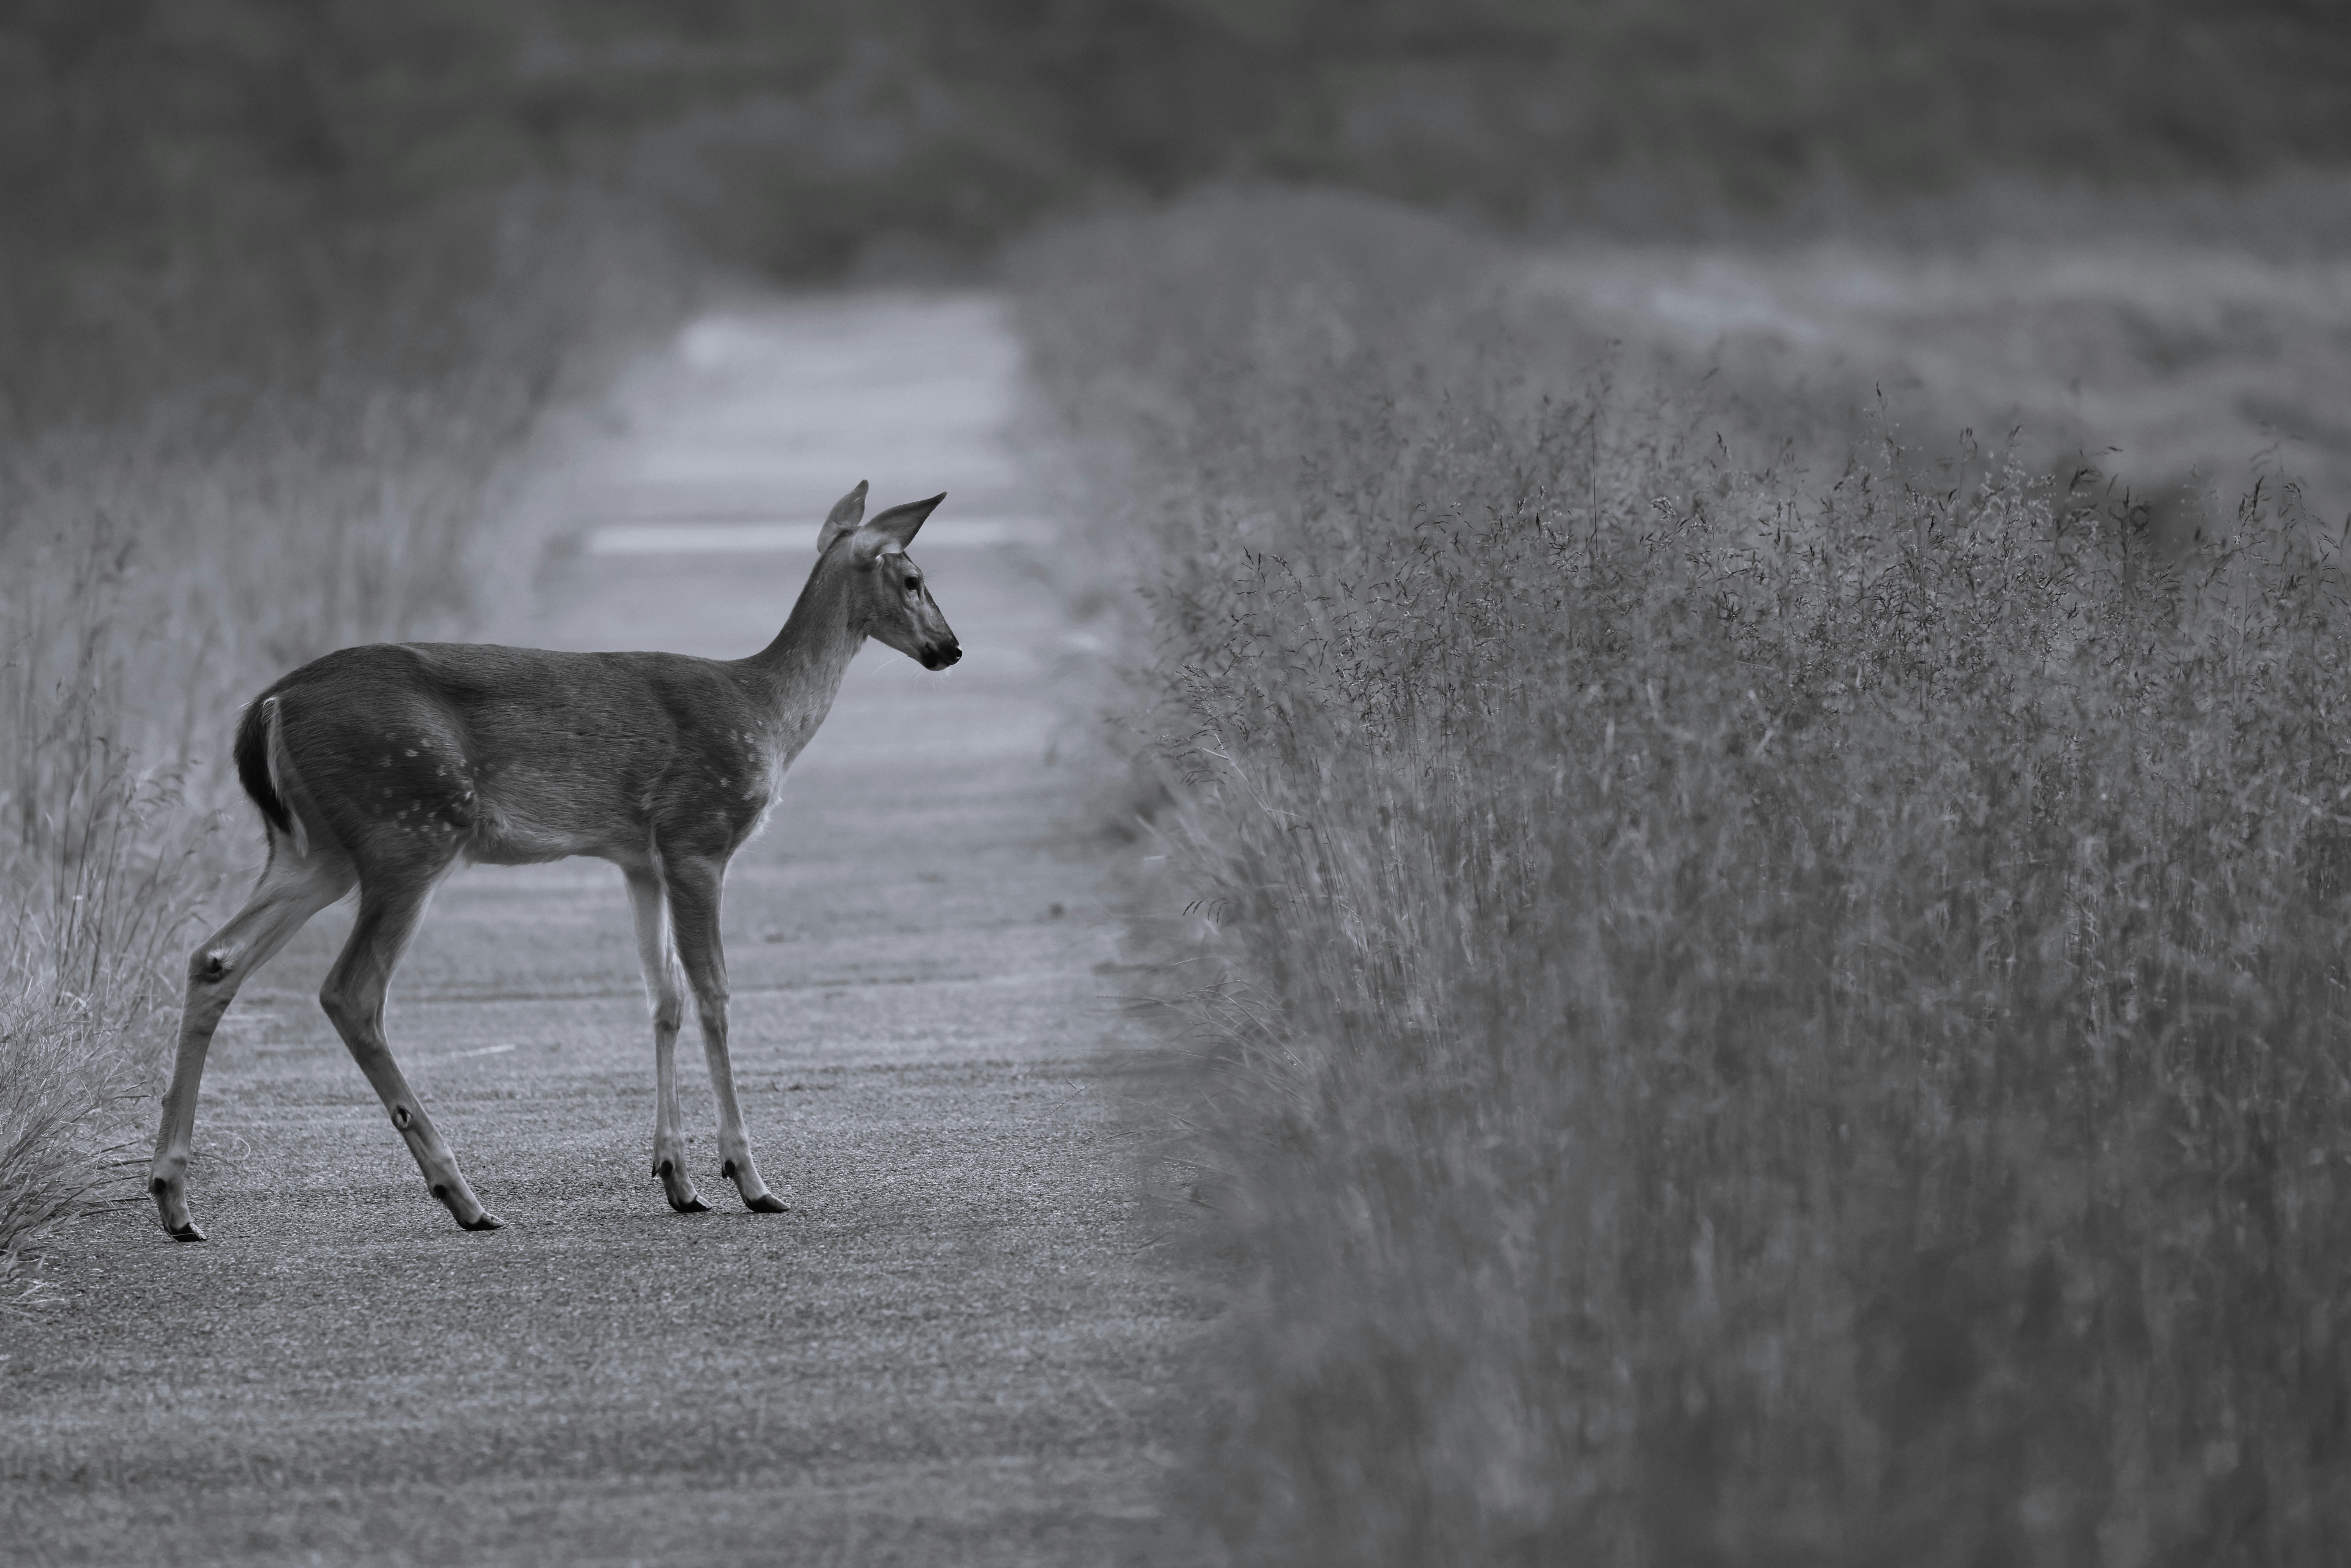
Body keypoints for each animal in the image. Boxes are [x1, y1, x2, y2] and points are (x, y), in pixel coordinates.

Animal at [148, 483, 959, 1240]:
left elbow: (661, 996)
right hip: (408, 828)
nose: (951, 649)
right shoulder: (698, 836)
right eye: (914, 578)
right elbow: (714, 993)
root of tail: (270, 705)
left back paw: (174, 1199)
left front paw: (678, 1176)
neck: (767, 712)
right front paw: (749, 1177)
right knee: (351, 990)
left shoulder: (639, 857)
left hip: (314, 850)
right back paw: (464, 1196)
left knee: (216, 956)